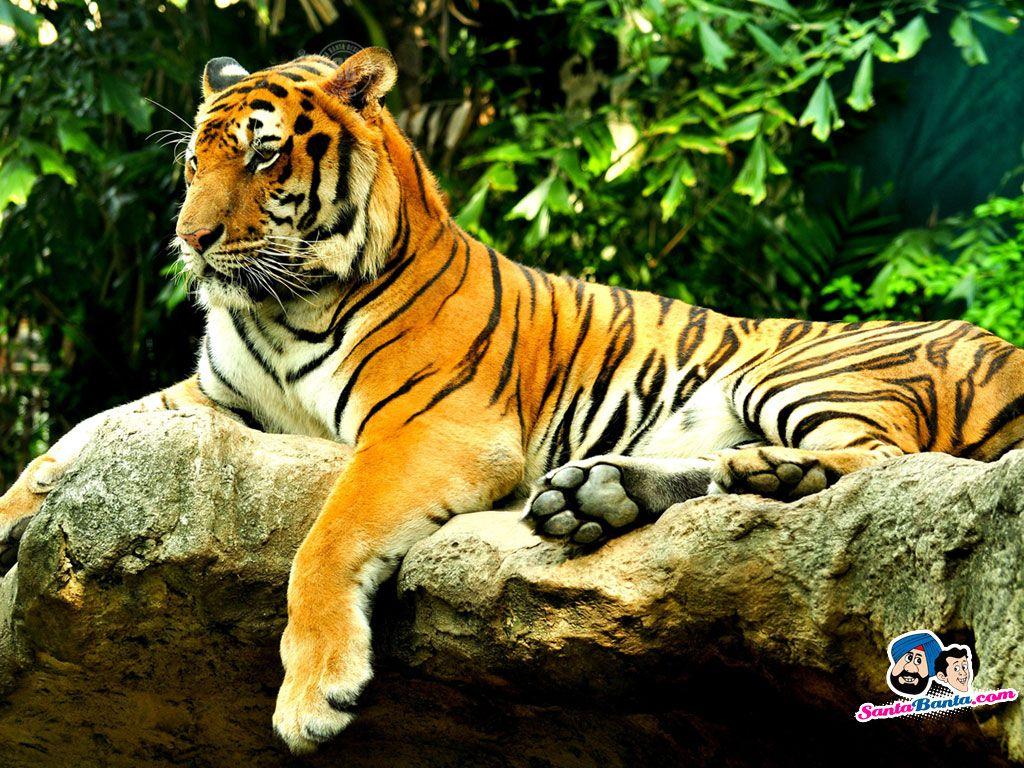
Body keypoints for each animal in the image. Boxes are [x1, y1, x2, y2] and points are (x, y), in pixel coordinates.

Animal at [1, 47, 1023, 754]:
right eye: (192, 164)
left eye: (261, 159)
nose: (191, 239)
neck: (281, 309)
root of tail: (1003, 346)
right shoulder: (206, 396)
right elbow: (79, 435)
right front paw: (12, 512)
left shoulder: (430, 427)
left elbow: (326, 539)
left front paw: (314, 695)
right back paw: (599, 496)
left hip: (800, 375)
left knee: (883, 459)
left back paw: (763, 472)